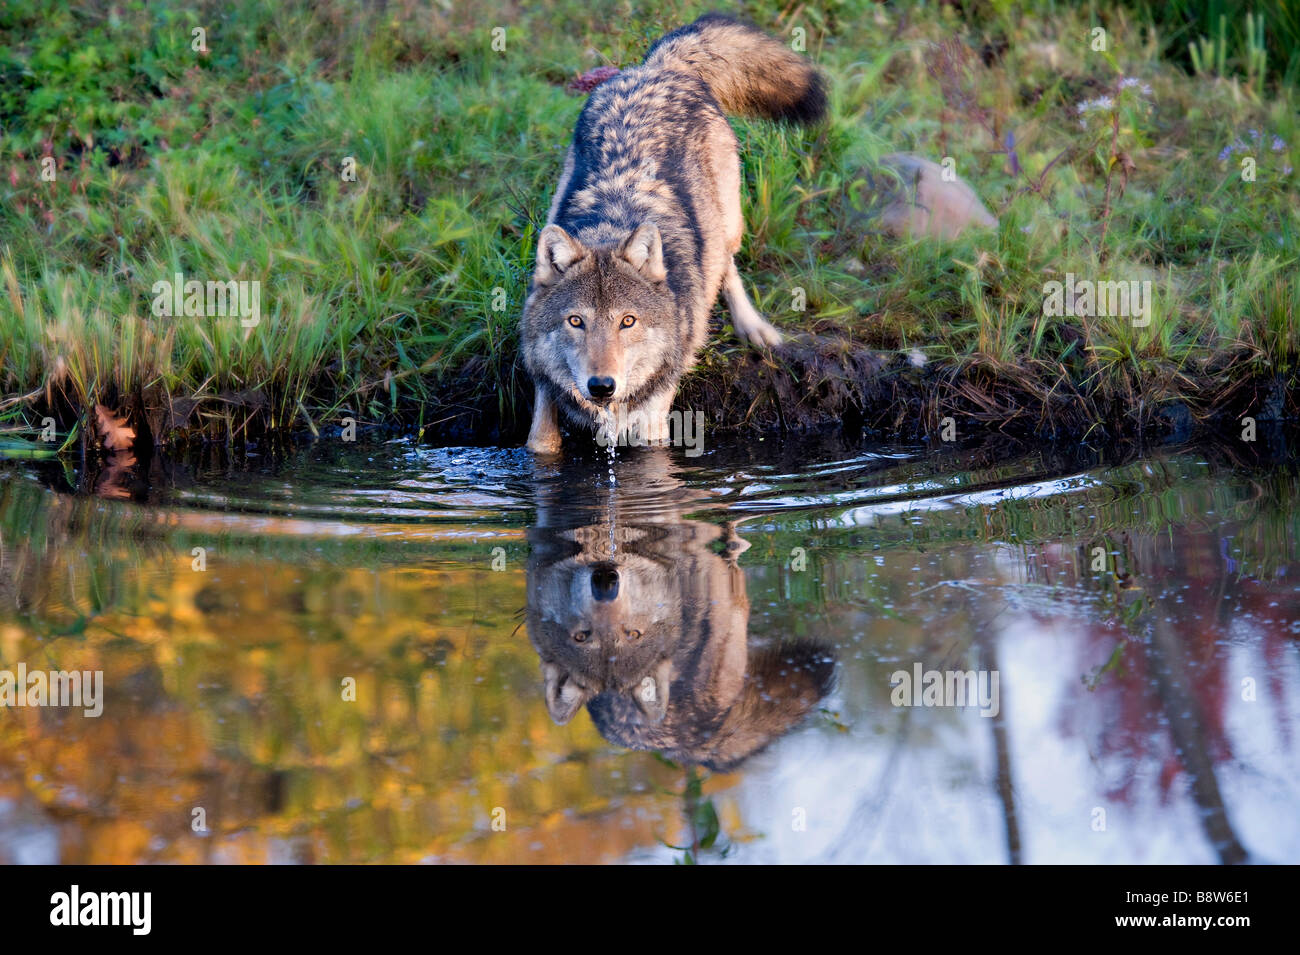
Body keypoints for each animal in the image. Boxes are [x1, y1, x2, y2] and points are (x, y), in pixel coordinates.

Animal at [520, 13, 827, 454]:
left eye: (627, 322)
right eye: (575, 321)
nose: (602, 386)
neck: (612, 222)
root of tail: (658, 67)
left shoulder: (654, 414)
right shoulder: (543, 381)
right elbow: (541, 440)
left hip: (728, 221)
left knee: (726, 265)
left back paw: (754, 329)